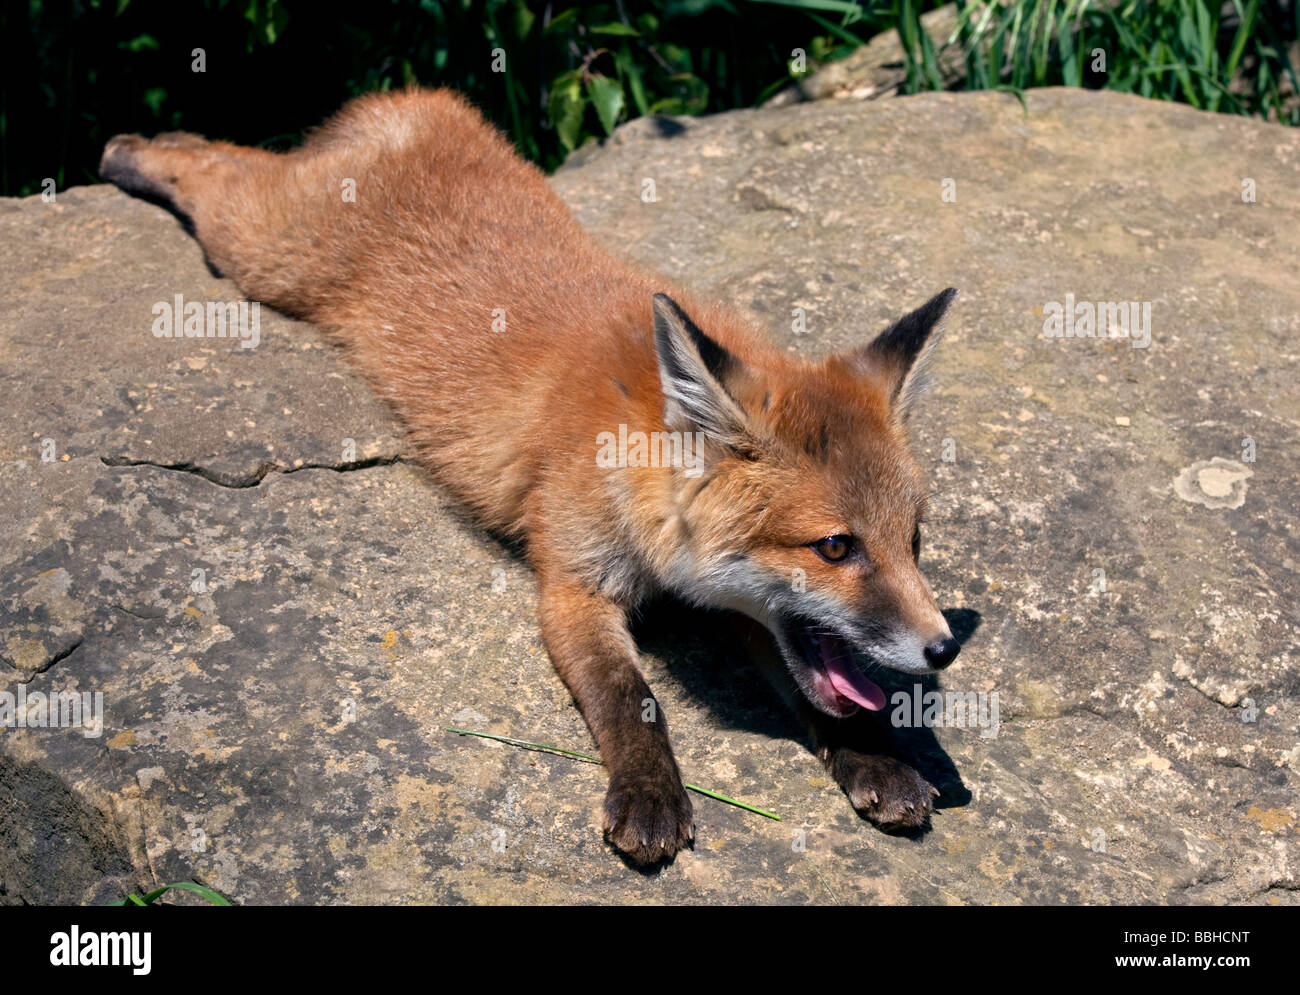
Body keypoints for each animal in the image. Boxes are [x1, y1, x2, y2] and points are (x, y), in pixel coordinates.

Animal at [98, 88, 962, 866]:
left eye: (913, 539)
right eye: (835, 547)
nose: (945, 647)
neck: (634, 441)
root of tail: (413, 100)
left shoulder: (737, 606)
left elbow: (816, 686)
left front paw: (875, 753)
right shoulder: (572, 584)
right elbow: (631, 697)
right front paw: (649, 793)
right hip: (262, 256)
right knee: (215, 170)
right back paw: (134, 149)